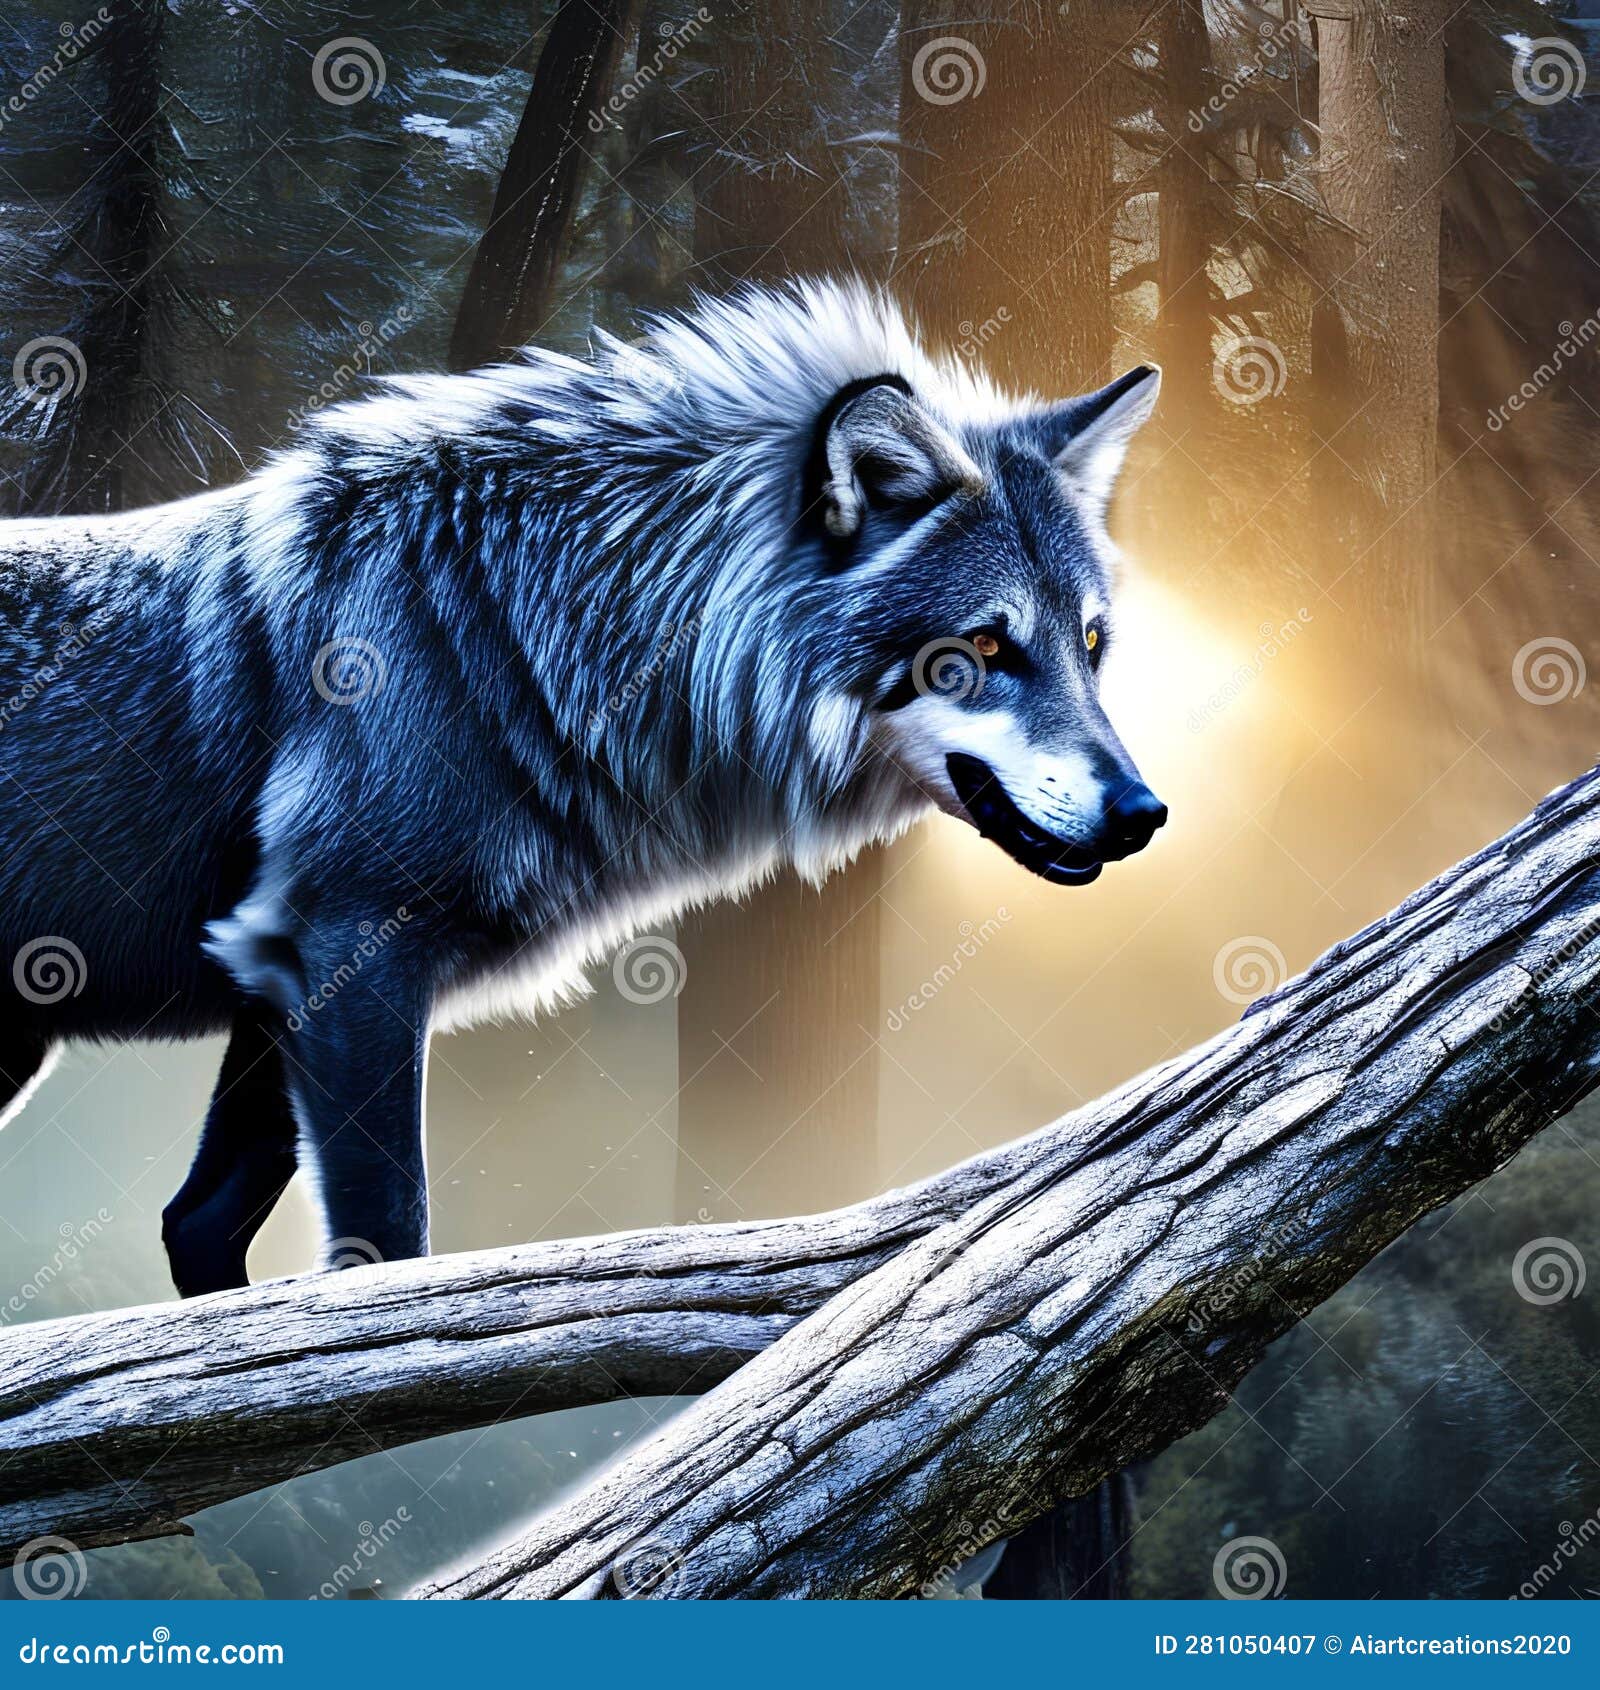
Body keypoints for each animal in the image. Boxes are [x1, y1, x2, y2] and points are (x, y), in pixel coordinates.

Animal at [0, 279, 1166, 1295]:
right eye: (985, 647)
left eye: (1091, 643)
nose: (1143, 814)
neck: (526, 629)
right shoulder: (350, 948)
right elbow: (384, 1254)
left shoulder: (277, 976)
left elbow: (203, 1229)